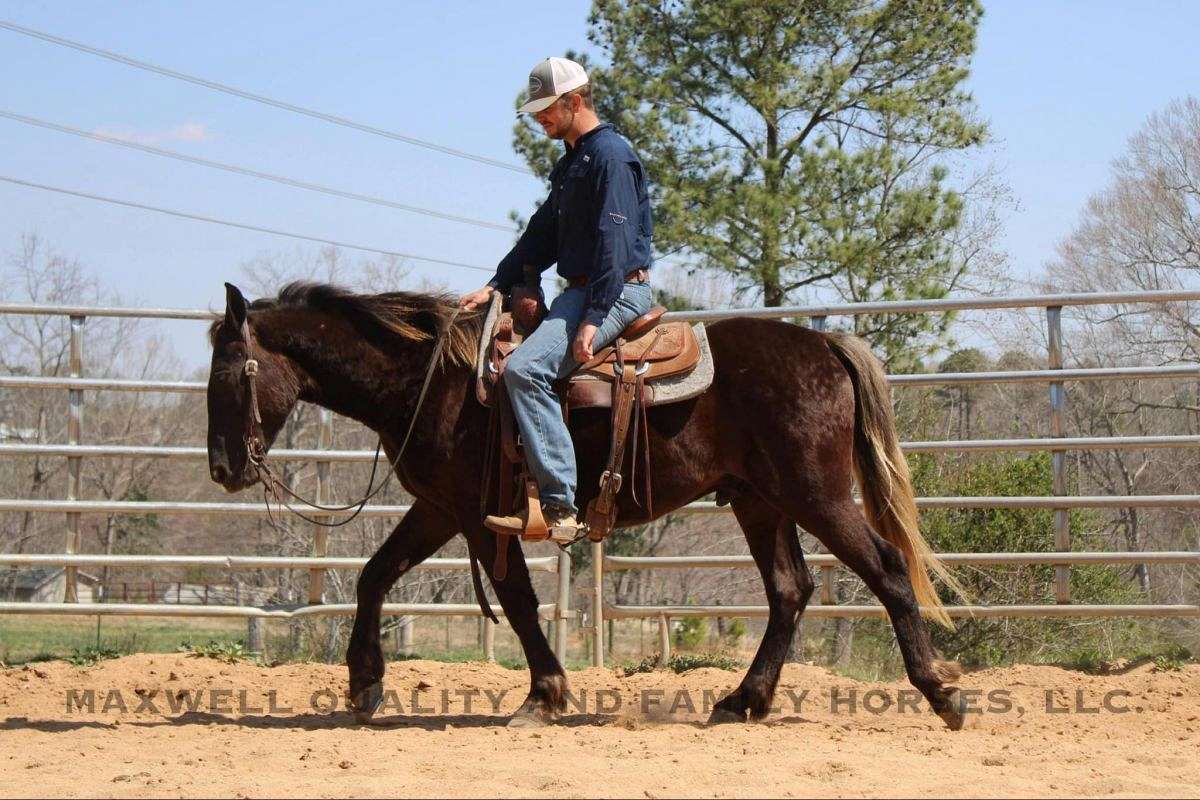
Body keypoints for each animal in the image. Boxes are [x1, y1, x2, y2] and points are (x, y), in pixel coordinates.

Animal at [205, 281, 969, 729]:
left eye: (228, 374)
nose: (221, 468)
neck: (431, 379)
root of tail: (825, 344)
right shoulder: (440, 510)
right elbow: (375, 575)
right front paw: (364, 683)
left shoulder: (477, 516)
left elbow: (516, 601)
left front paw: (544, 694)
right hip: (760, 501)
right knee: (790, 589)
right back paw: (743, 700)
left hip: (817, 495)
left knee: (887, 570)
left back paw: (942, 691)